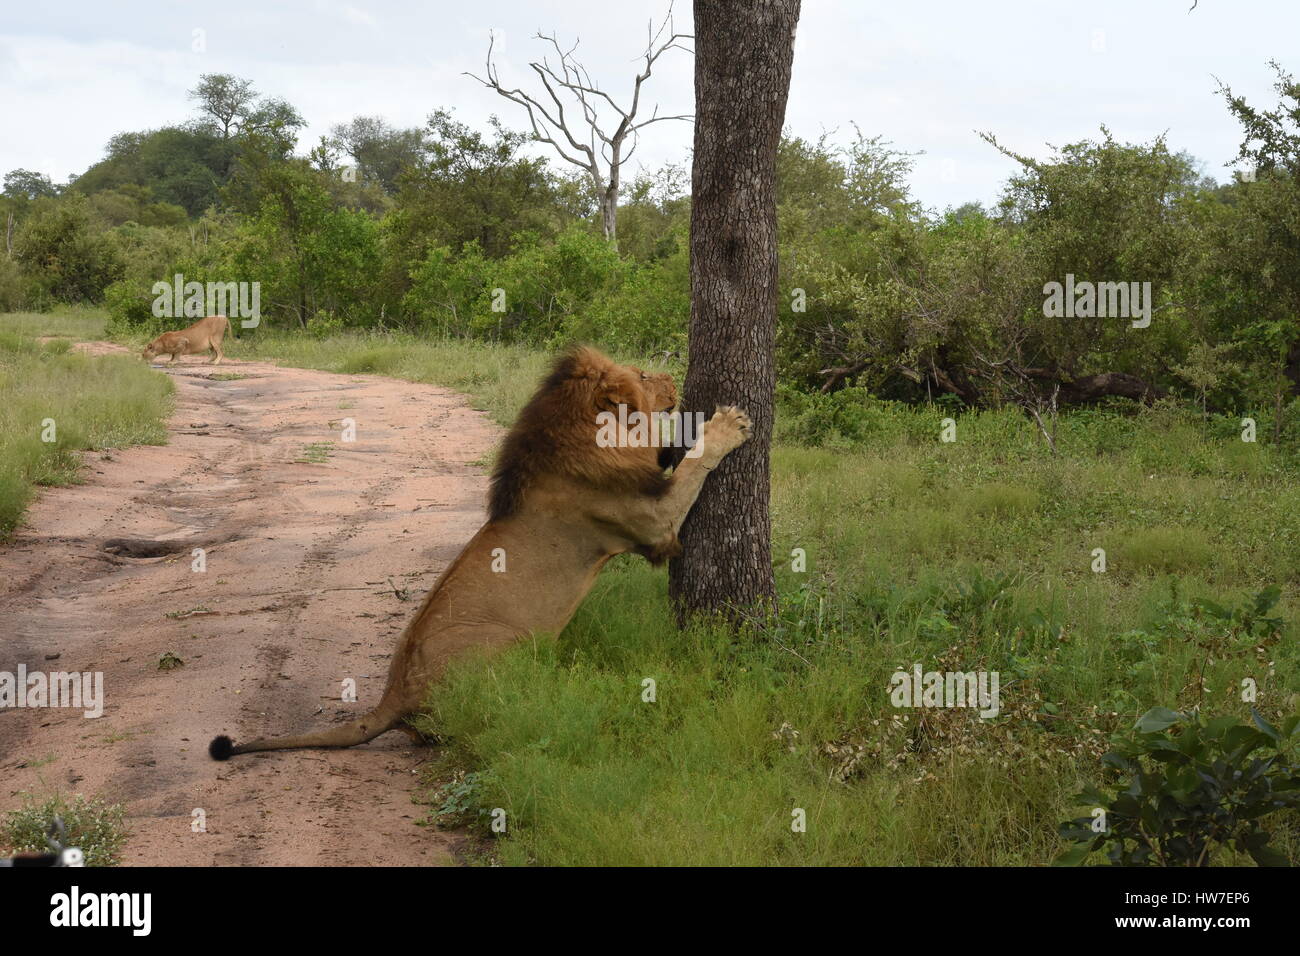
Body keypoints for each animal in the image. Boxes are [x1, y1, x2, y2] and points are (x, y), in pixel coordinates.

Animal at [209, 346, 751, 759]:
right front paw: (727, 425)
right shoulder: (655, 524)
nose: (672, 377)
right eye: (641, 375)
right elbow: (694, 464)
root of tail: (394, 695)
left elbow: (674, 456)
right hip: (509, 639)